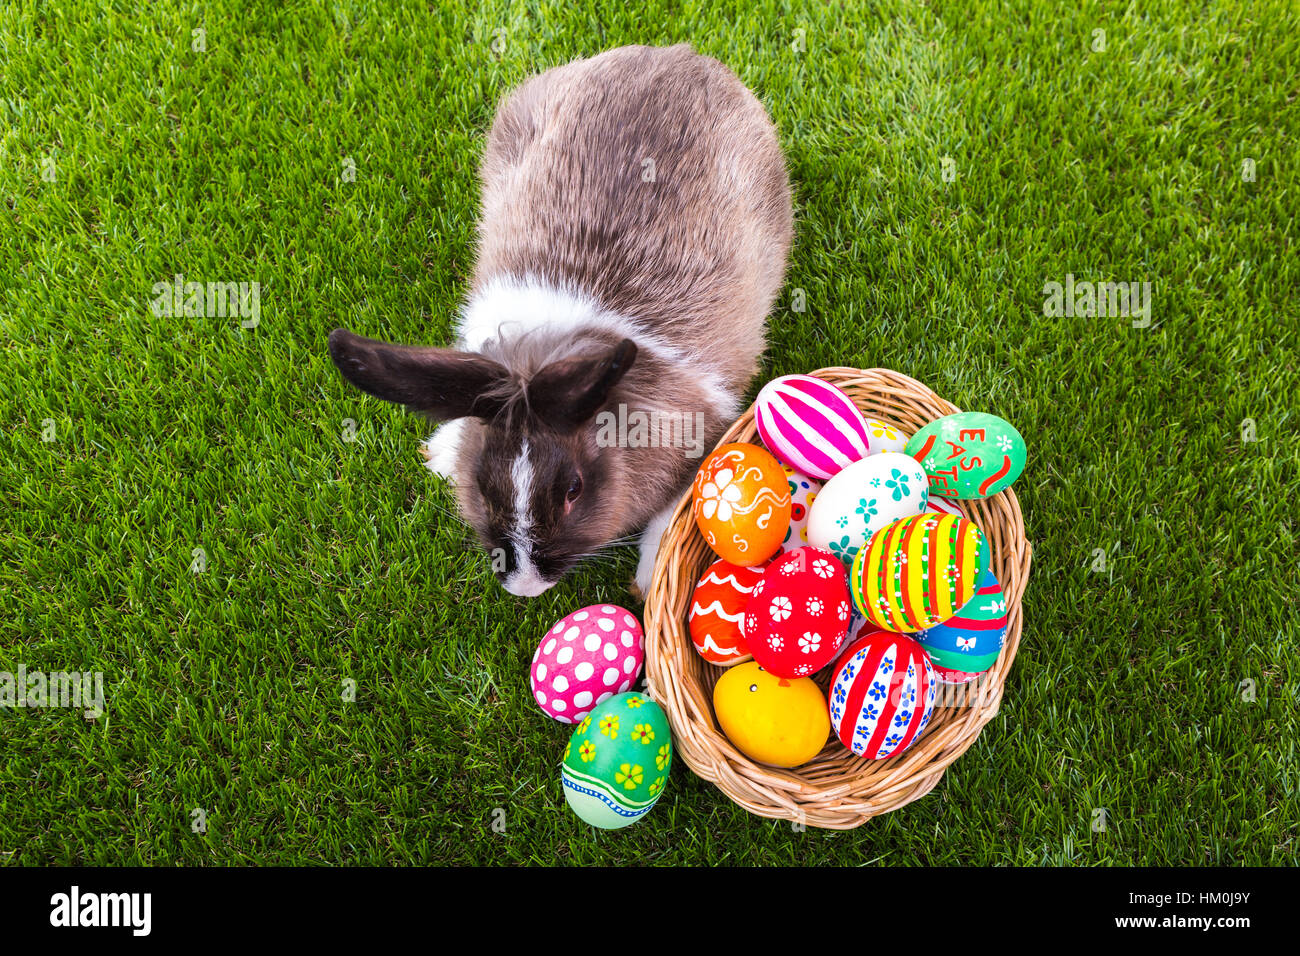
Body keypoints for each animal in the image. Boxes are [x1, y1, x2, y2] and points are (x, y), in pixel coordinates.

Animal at [328, 43, 793, 597]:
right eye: (481, 485)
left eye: (574, 488)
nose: (525, 586)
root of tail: (686, 56)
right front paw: (441, 452)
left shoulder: (710, 430)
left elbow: (680, 506)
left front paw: (650, 578)